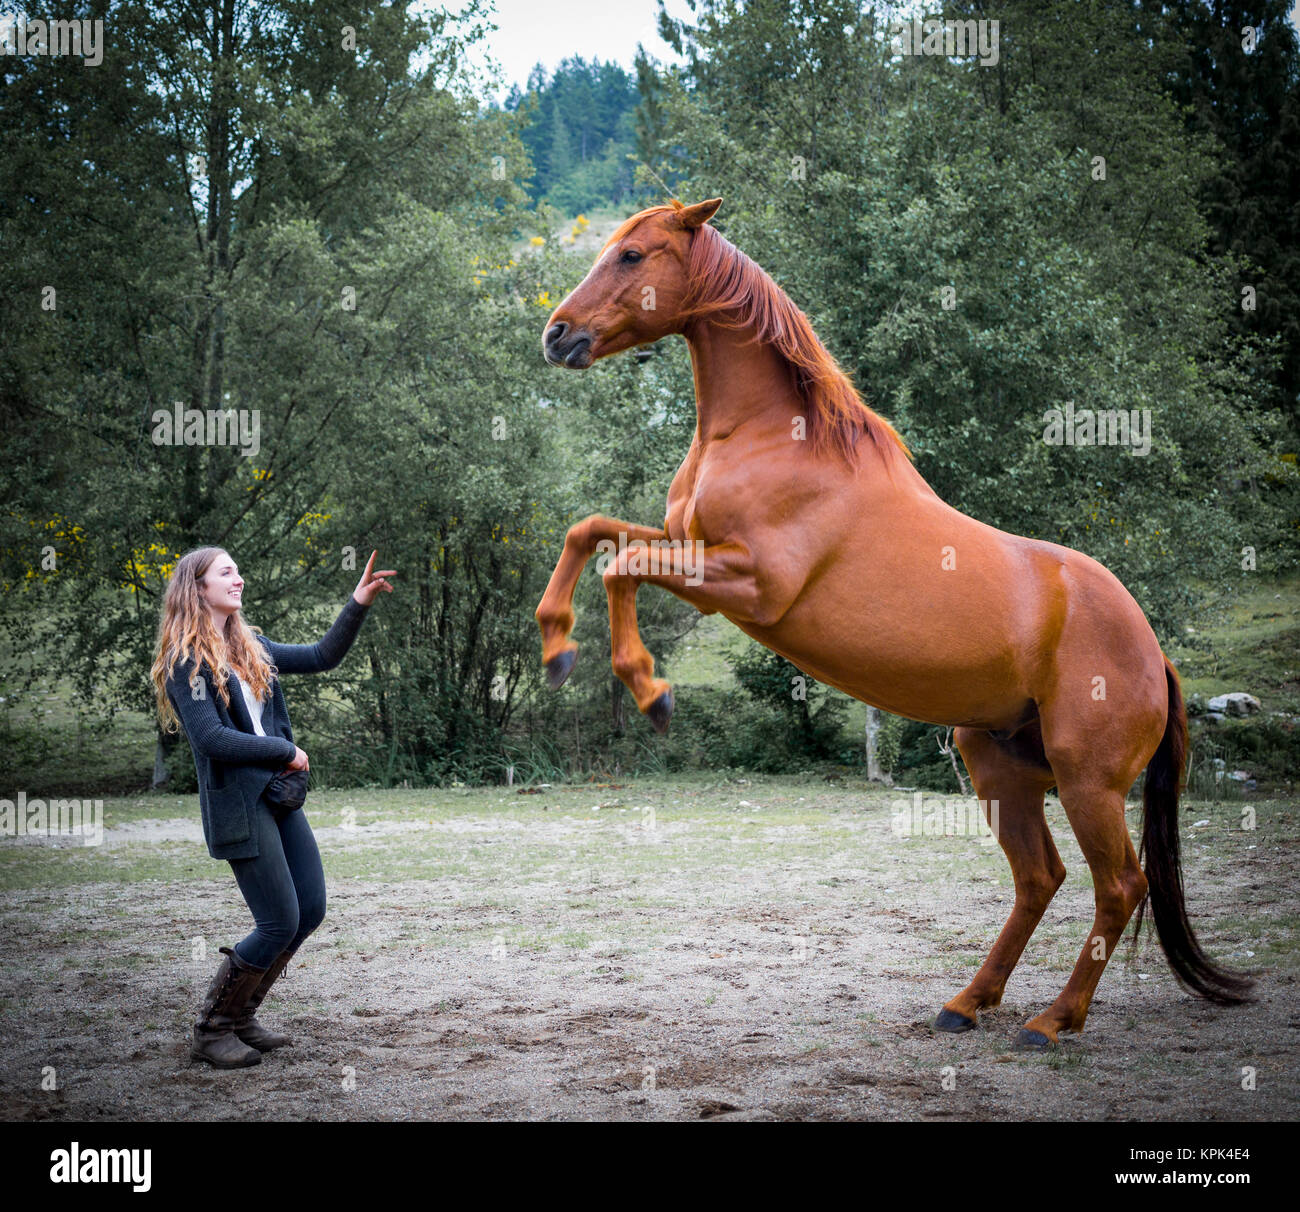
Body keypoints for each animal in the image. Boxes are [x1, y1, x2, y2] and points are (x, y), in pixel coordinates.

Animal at [535, 197, 1252, 1048]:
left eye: (634, 255)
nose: (556, 334)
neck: (773, 438)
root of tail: (1153, 654)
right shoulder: (690, 546)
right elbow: (591, 532)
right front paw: (556, 647)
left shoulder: (748, 583)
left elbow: (618, 564)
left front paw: (650, 691)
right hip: (1000, 766)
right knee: (1040, 878)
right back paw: (966, 1003)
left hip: (1088, 782)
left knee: (1119, 886)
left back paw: (1051, 1021)